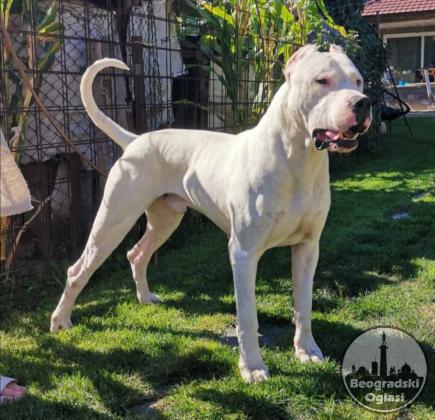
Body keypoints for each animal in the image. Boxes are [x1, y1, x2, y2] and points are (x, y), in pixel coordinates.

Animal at [50, 45, 372, 384]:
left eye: (358, 81)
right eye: (321, 80)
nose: (362, 102)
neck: (297, 158)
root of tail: (136, 140)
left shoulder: (308, 248)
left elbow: (304, 305)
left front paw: (306, 350)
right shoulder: (243, 253)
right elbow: (247, 316)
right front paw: (252, 367)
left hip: (165, 220)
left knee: (136, 254)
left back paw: (145, 297)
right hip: (114, 220)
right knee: (78, 270)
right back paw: (60, 320)